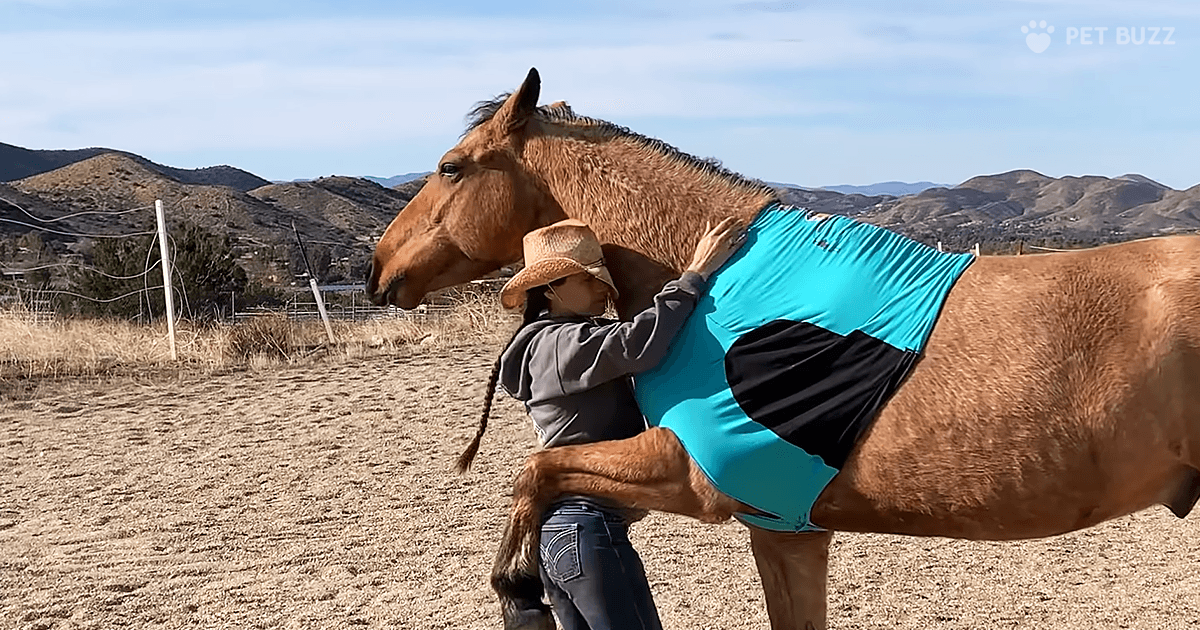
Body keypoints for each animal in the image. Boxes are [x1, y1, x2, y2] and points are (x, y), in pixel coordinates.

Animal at [366, 68, 1200, 630]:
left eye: (450, 167)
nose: (378, 269)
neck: (723, 287)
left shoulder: (687, 475)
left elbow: (536, 471)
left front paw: (519, 591)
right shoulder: (780, 527)